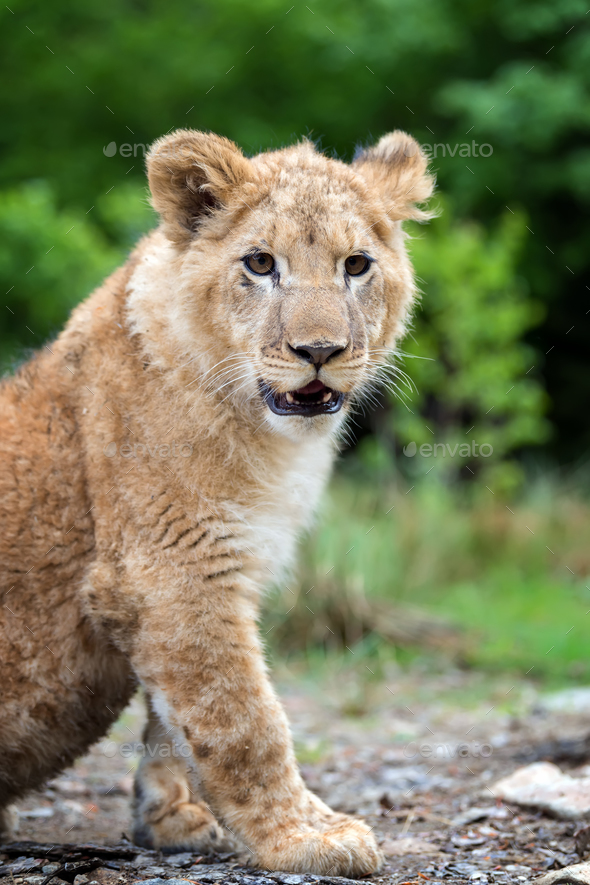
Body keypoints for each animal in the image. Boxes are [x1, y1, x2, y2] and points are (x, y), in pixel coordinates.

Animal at [0, 128, 433, 875]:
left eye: (356, 265)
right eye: (260, 263)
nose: (319, 351)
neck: (267, 437)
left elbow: (173, 721)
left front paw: (168, 818)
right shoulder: (174, 571)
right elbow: (244, 718)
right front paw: (305, 835)